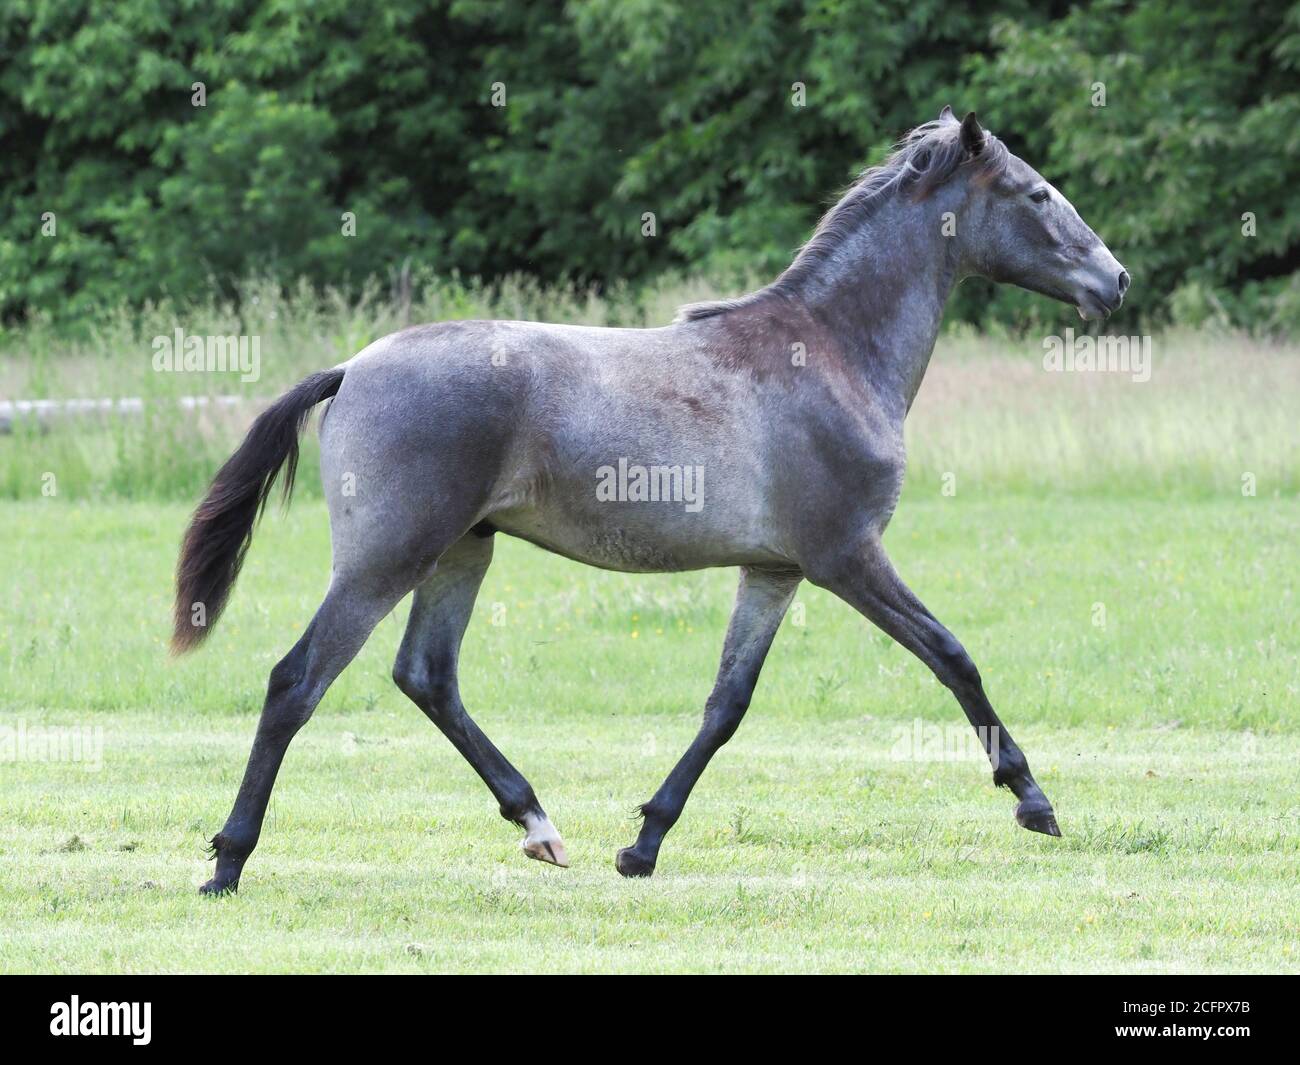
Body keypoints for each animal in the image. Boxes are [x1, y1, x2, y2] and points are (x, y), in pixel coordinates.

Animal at [174, 108, 1128, 893]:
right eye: (1038, 192)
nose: (1114, 280)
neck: (831, 352)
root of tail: (352, 367)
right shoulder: (846, 556)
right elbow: (953, 655)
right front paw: (1033, 800)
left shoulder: (774, 572)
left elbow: (725, 706)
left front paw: (643, 843)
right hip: (387, 557)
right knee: (297, 679)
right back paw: (228, 860)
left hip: (462, 549)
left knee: (426, 675)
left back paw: (539, 825)